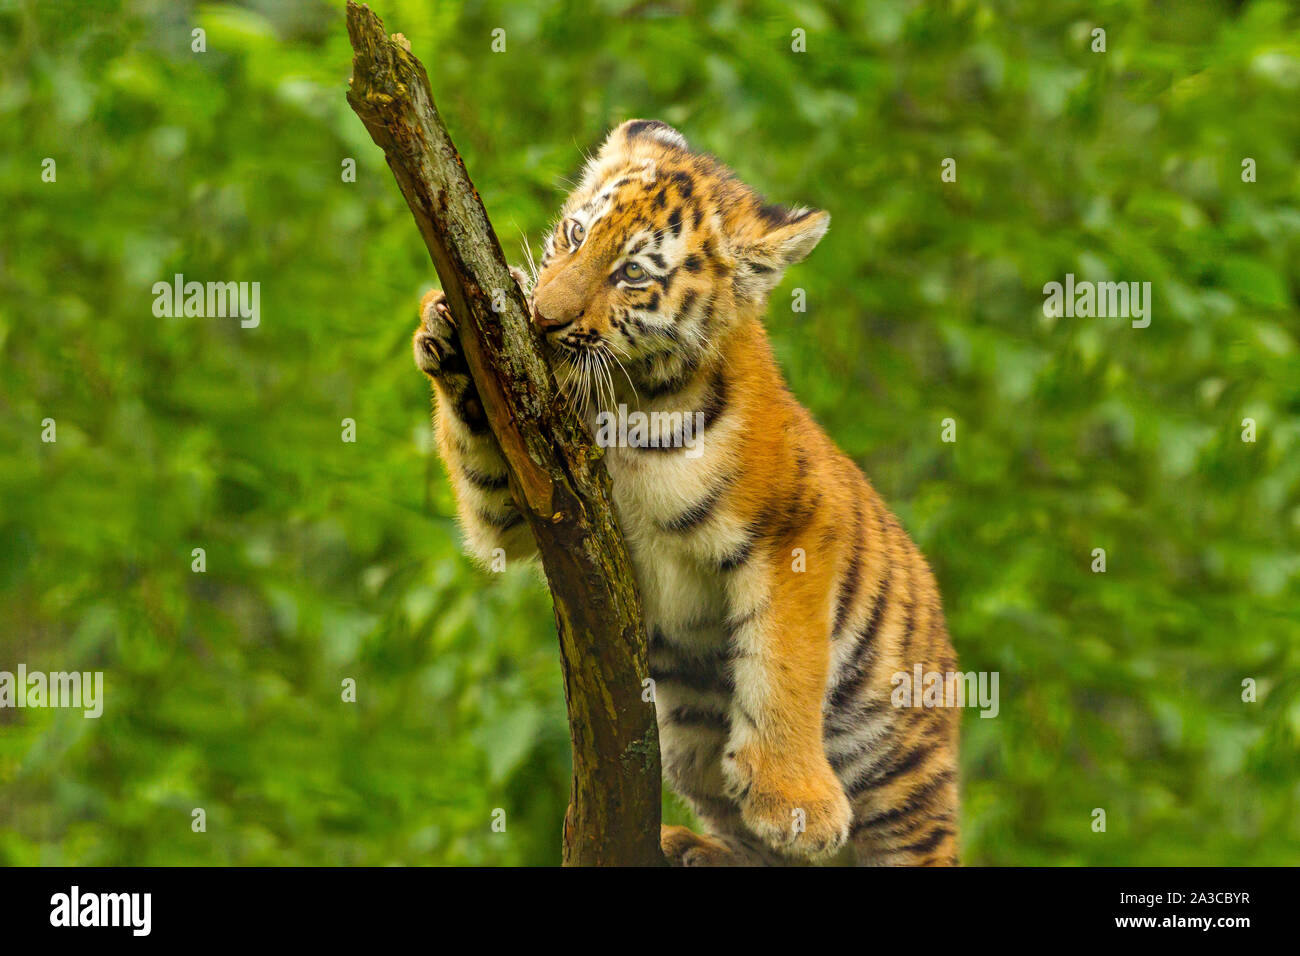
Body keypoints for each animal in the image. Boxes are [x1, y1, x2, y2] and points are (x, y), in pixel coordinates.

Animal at [412, 120, 960, 866]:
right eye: (576, 233)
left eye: (634, 274)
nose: (545, 319)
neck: (626, 399)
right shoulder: (535, 497)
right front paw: (448, 332)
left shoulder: (798, 529)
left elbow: (784, 663)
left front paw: (797, 802)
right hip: (693, 737)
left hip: (906, 776)